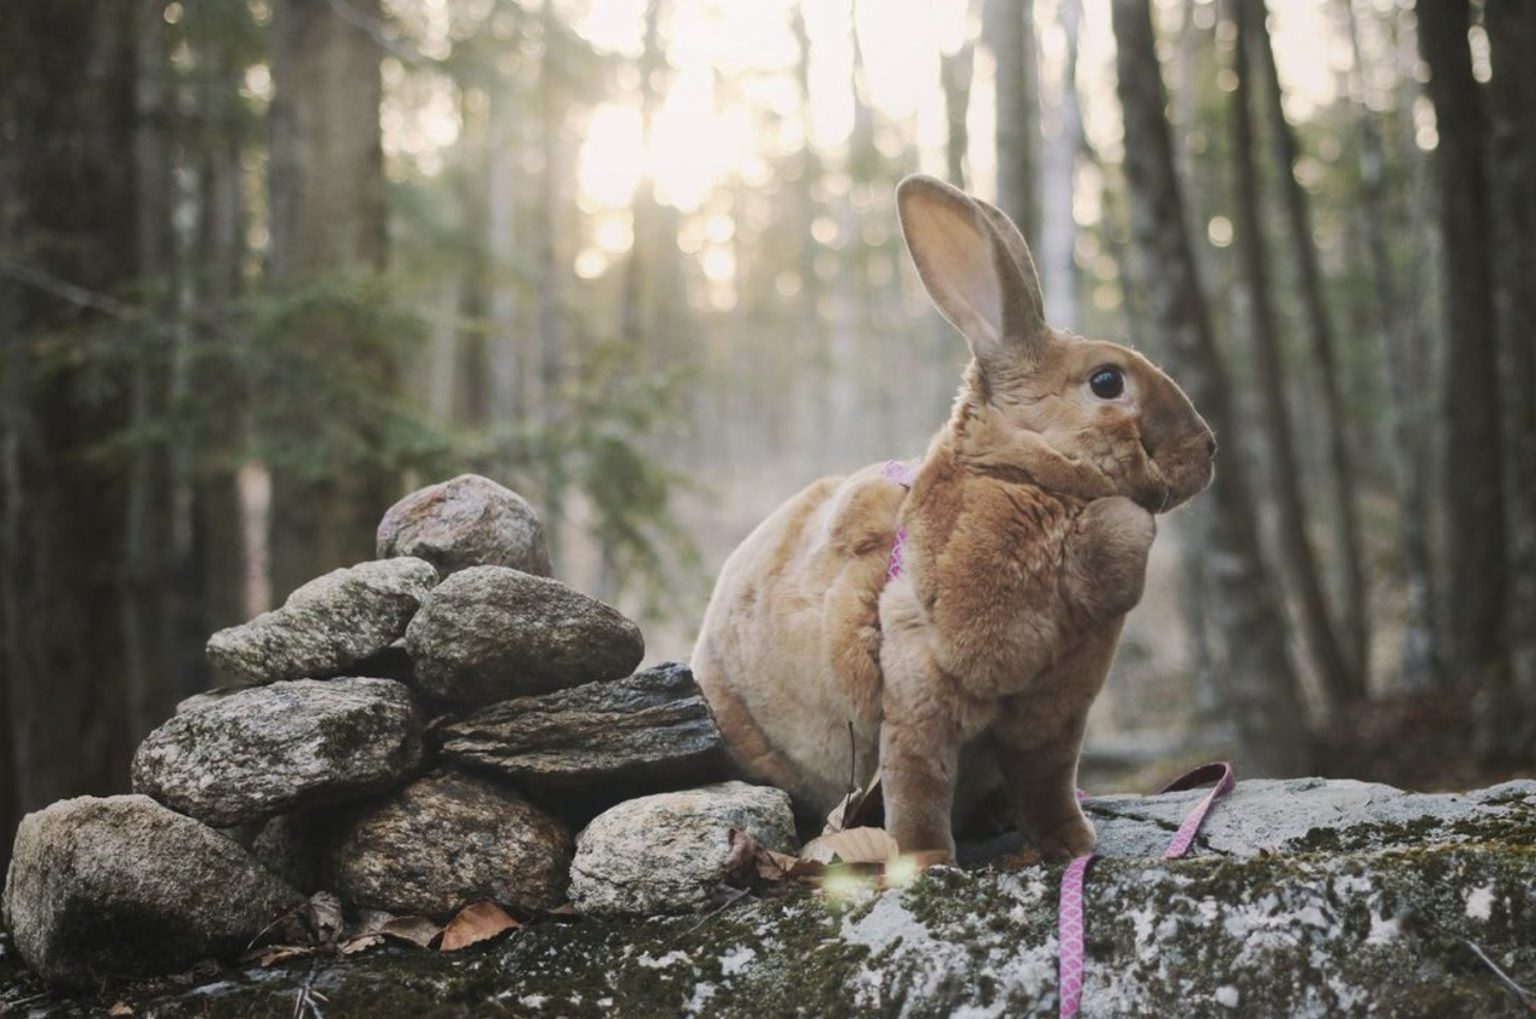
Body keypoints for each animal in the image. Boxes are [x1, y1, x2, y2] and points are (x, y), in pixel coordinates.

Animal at [692, 174, 1216, 863]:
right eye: (1107, 382)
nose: (1209, 449)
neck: (1029, 483)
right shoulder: (921, 697)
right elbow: (921, 787)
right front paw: (929, 863)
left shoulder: (1054, 717)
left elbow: (1050, 785)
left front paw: (1072, 845)